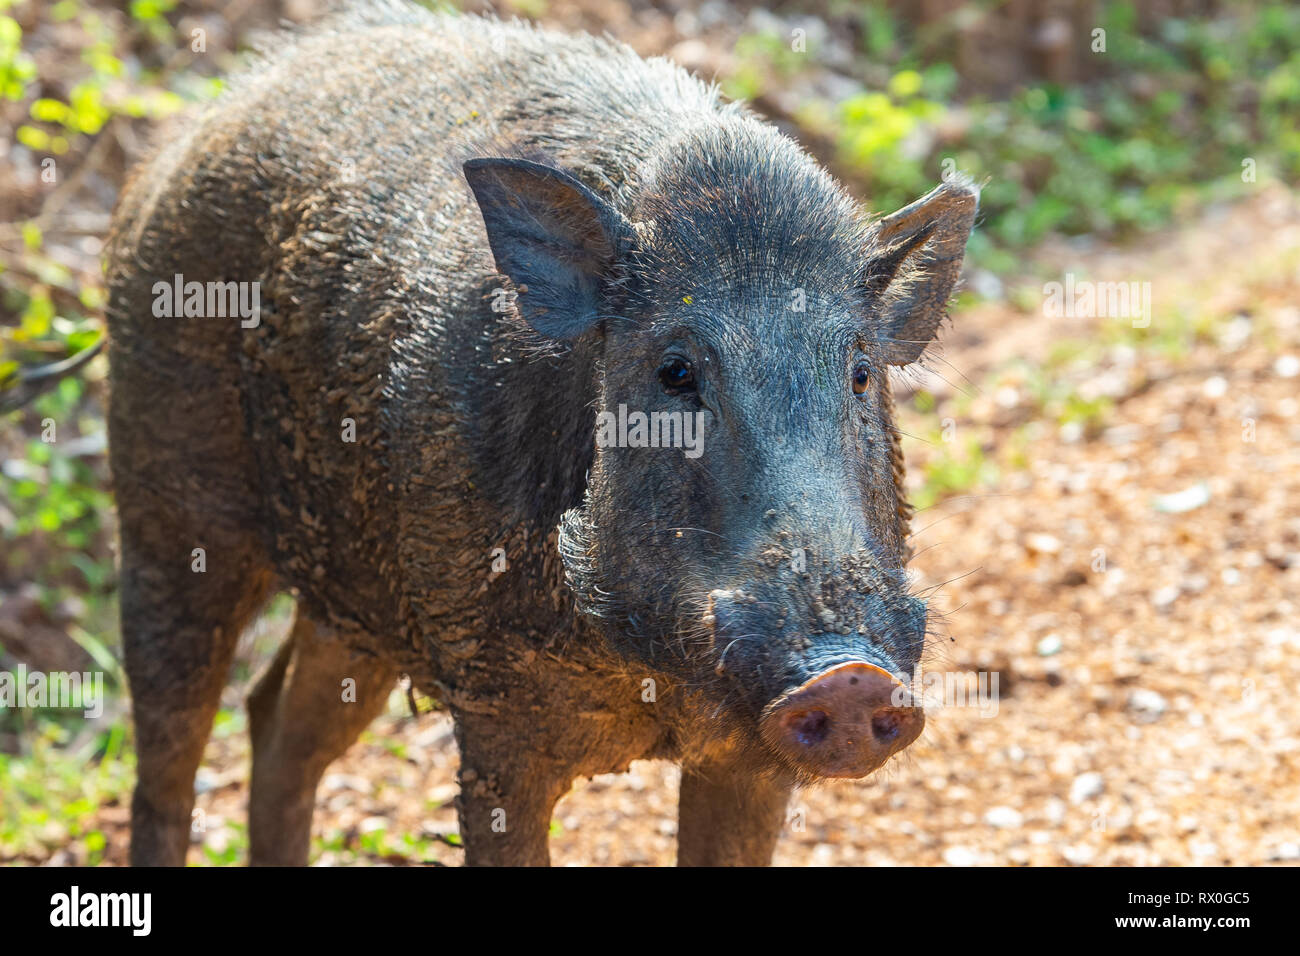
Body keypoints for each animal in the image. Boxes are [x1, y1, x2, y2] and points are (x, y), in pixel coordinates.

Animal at [104, 2, 978, 866]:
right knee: (168, 765)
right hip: (166, 514)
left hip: (353, 606)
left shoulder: (746, 761)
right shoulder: (496, 723)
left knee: (277, 724)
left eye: (859, 374)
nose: (850, 678)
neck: (649, 676)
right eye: (675, 371)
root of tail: (201, 122)